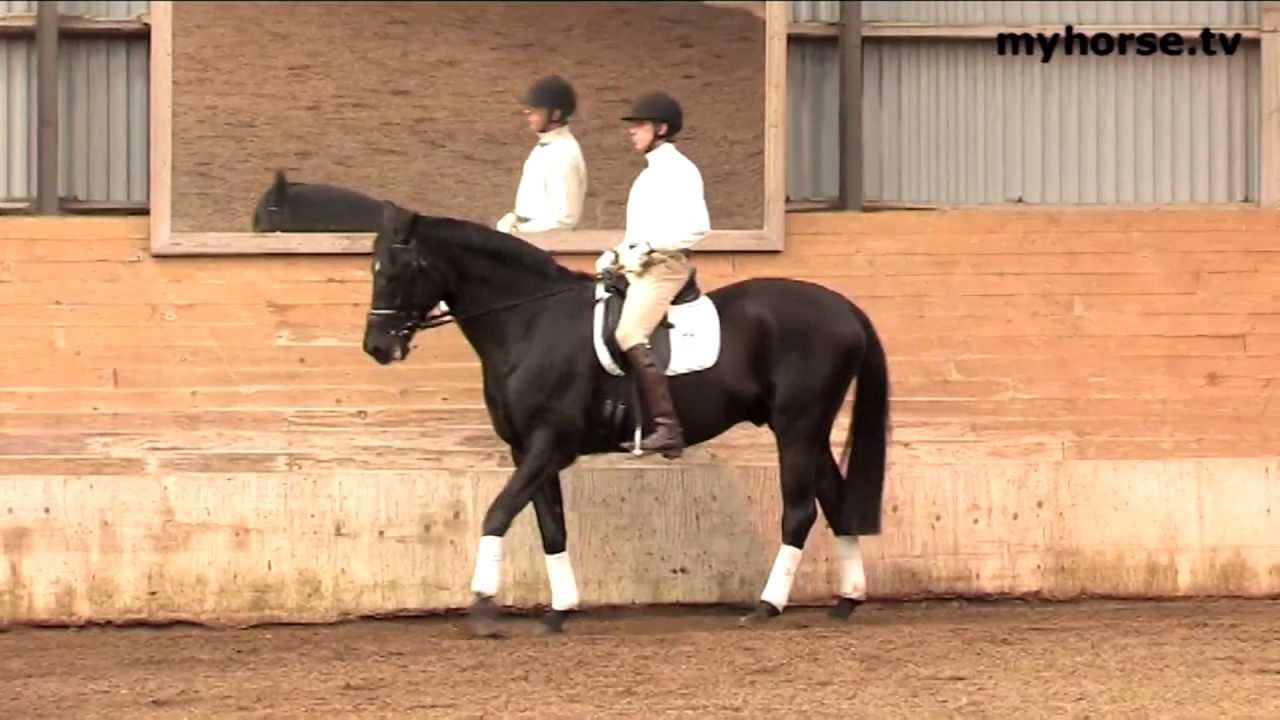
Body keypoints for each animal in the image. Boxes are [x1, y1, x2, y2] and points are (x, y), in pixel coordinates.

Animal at [362, 201, 891, 638]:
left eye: (399, 269)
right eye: (374, 268)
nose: (376, 347)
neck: (531, 322)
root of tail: (845, 308)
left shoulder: (549, 443)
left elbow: (498, 513)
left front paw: (484, 606)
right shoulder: (528, 449)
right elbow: (551, 527)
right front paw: (559, 610)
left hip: (798, 426)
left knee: (799, 511)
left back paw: (766, 606)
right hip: (805, 430)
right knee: (837, 502)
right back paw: (846, 600)